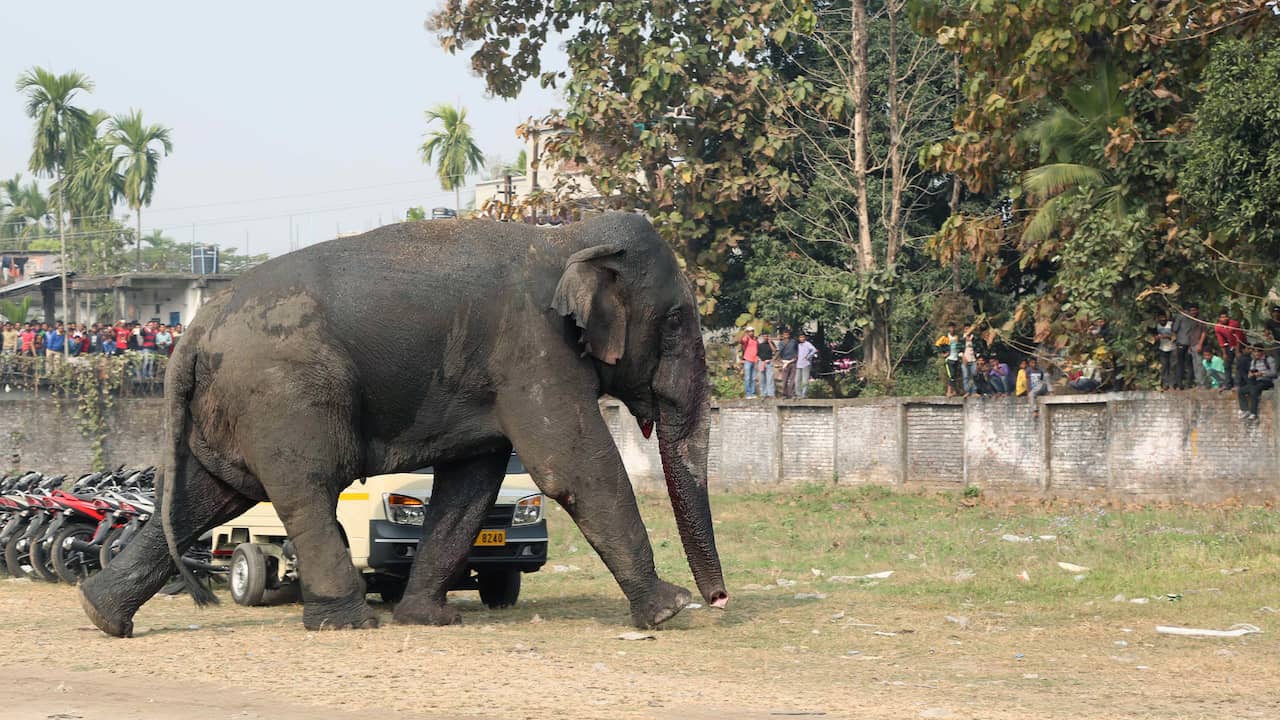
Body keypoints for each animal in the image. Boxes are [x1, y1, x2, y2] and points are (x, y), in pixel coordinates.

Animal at [79, 212, 728, 637]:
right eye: (676, 319)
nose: (718, 600)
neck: (565, 237)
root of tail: (188, 335)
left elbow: (472, 482)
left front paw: (432, 618)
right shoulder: (533, 349)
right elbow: (572, 467)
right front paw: (668, 611)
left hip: (229, 408)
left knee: (205, 496)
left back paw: (102, 615)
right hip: (284, 396)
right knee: (307, 489)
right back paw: (347, 622)